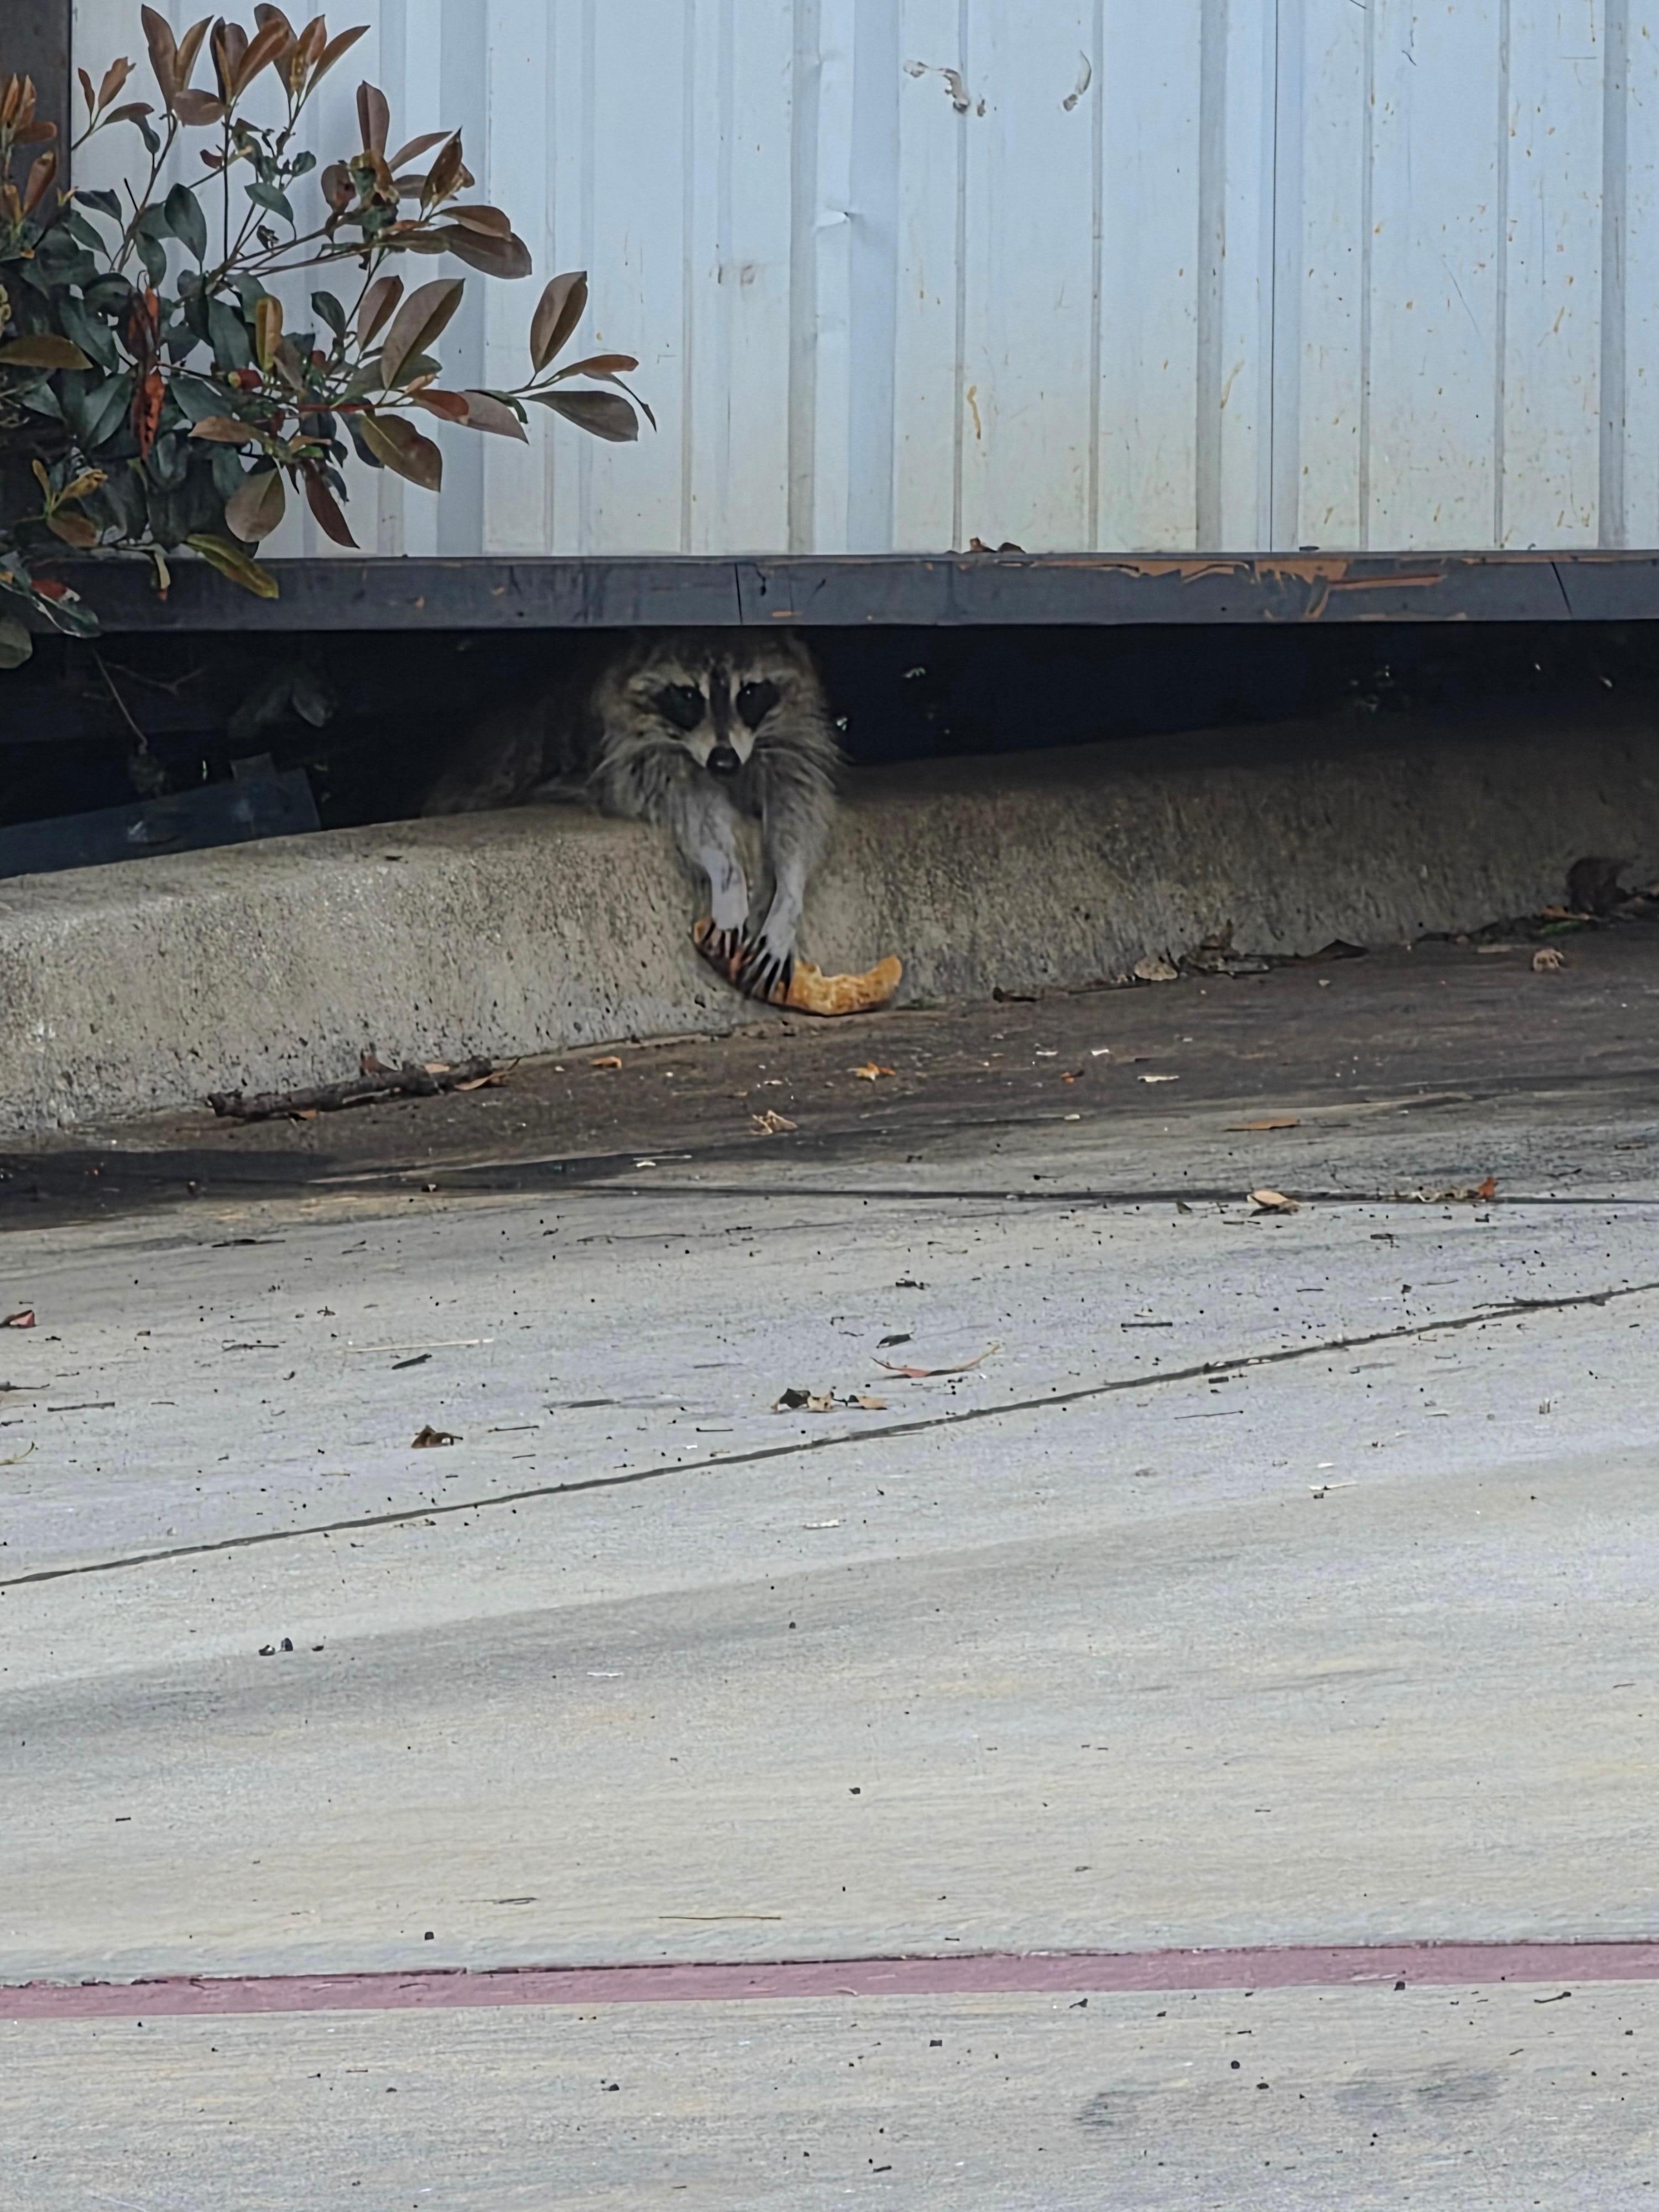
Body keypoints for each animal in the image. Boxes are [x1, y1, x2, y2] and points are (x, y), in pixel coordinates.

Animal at [424, 631, 841, 1002]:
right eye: (689, 696)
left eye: (750, 692)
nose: (723, 762)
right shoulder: (635, 757)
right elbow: (694, 809)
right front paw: (729, 876)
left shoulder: (789, 743)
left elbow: (798, 806)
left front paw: (788, 901)